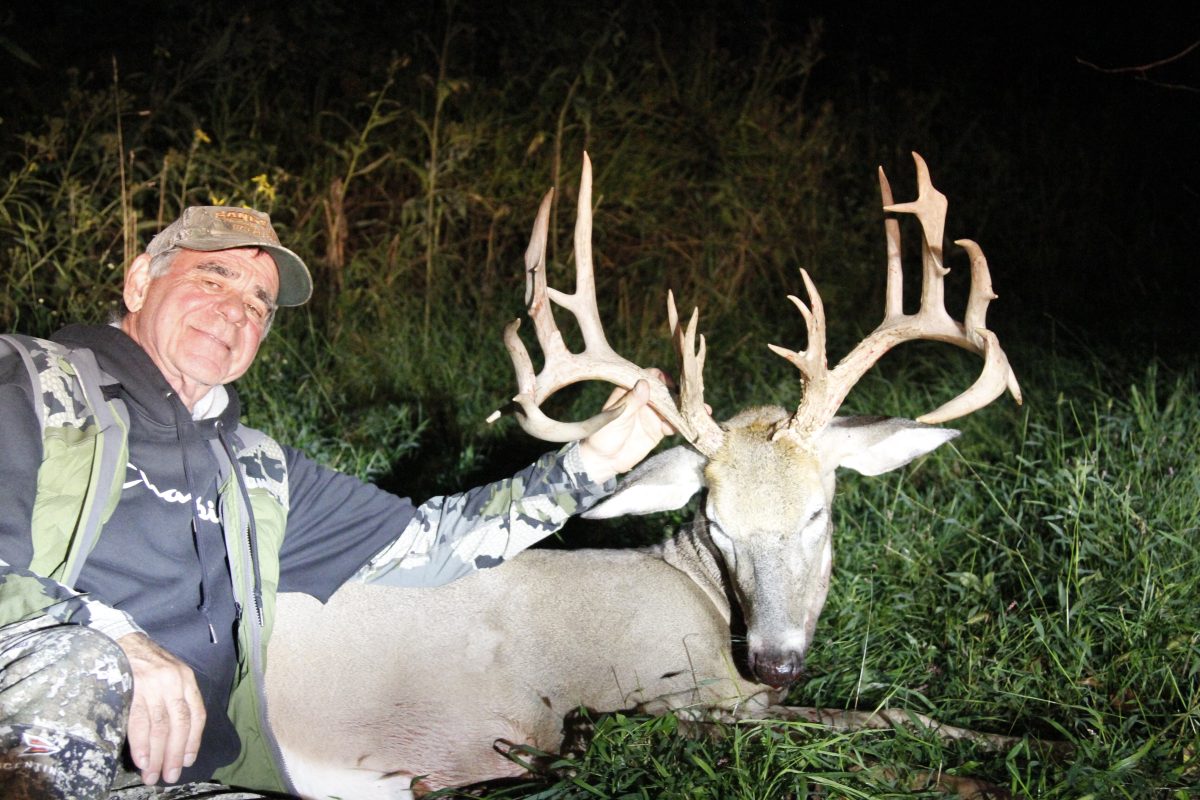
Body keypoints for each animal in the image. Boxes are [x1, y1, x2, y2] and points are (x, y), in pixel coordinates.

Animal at [264, 152, 1023, 799]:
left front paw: (1022, 741)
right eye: (716, 523)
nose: (775, 662)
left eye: (817, 511)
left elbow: (897, 716)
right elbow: (853, 736)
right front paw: (979, 776)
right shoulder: (675, 693)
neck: (709, 609)